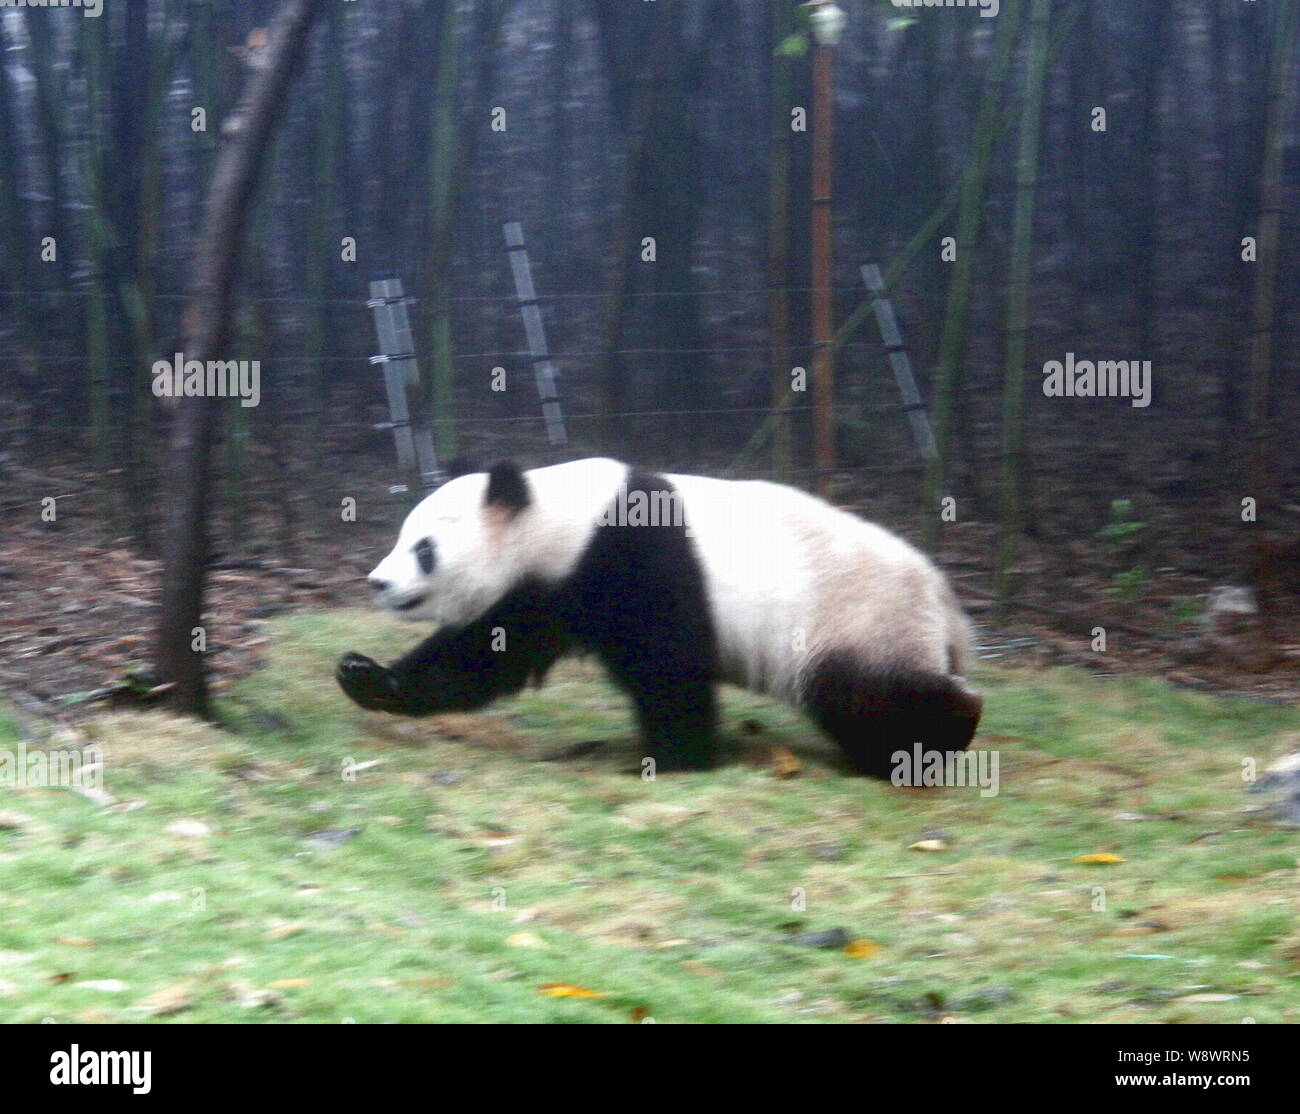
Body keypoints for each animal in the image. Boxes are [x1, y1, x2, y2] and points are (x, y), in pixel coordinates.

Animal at [336, 458, 982, 777]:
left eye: (423, 548)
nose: (378, 583)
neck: (560, 518)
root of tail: (949, 609)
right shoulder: (543, 589)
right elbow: (481, 653)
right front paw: (366, 677)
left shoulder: (632, 552)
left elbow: (668, 666)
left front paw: (675, 761)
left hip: (858, 621)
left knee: (873, 696)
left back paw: (934, 744)